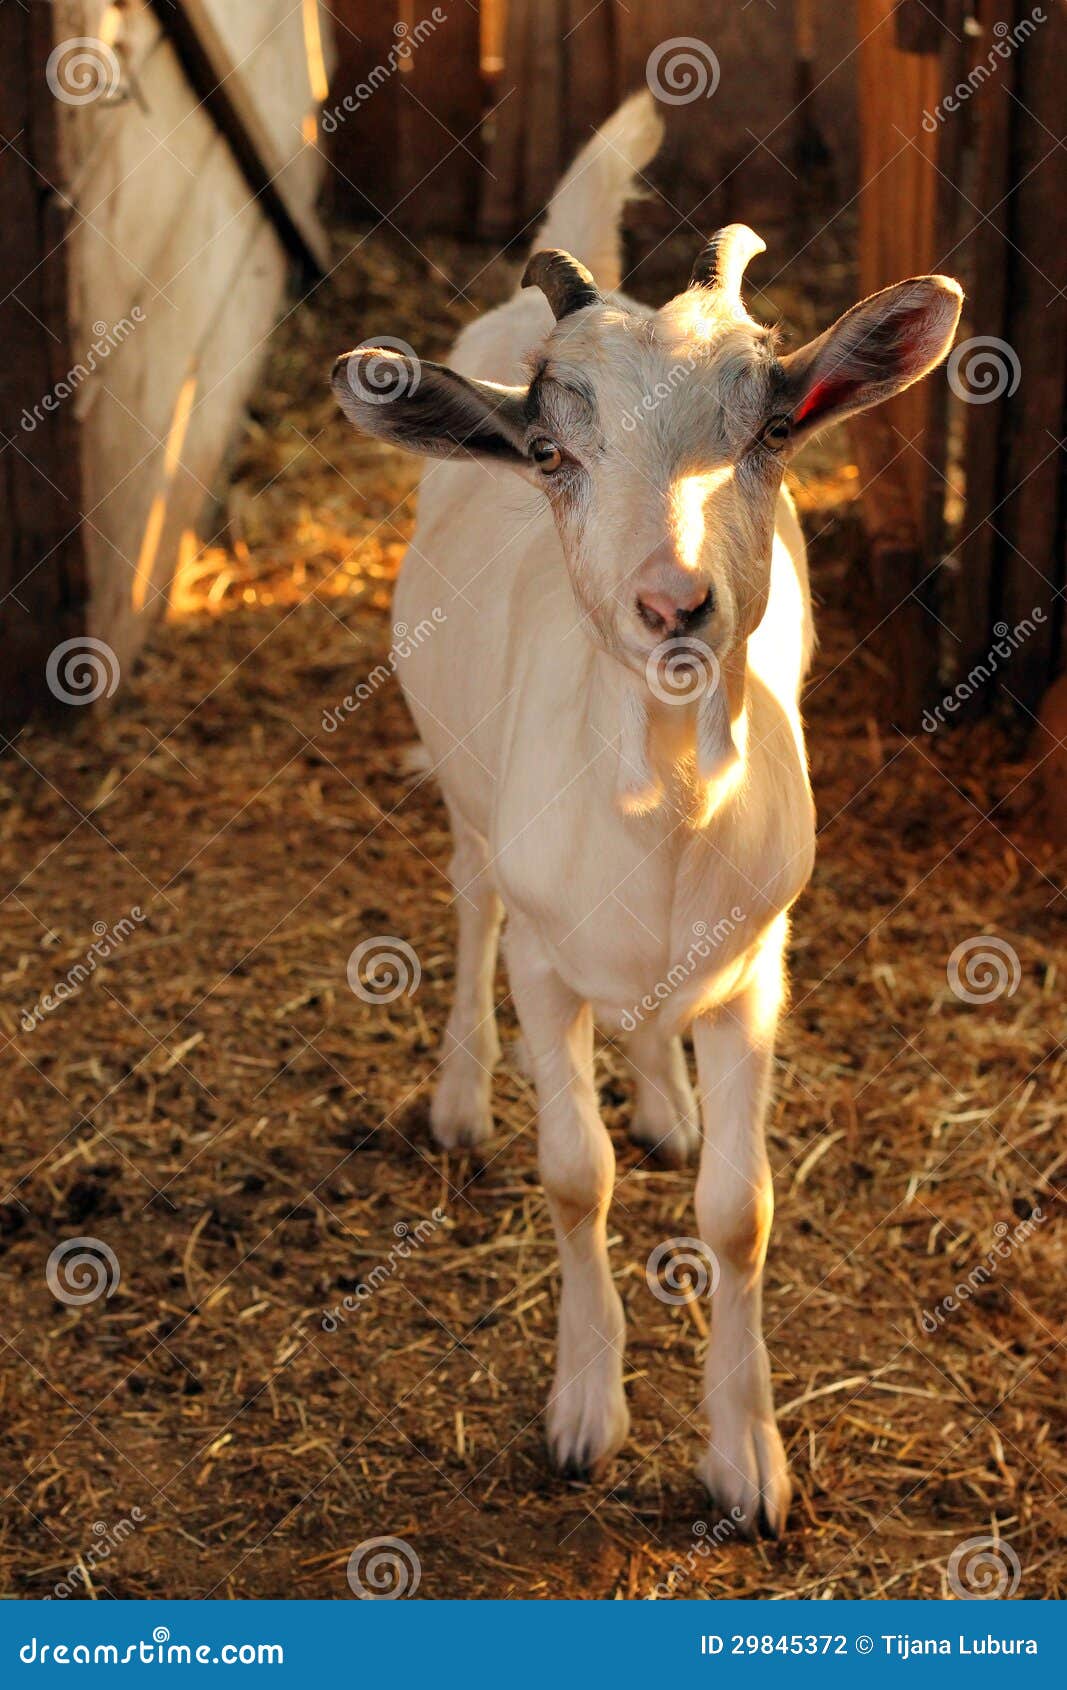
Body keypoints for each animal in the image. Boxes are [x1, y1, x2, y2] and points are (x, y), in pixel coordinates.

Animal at [332, 92, 962, 1537]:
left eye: (771, 431)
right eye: (549, 456)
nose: (672, 605)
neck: (661, 792)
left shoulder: (759, 967)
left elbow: (738, 1210)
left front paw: (746, 1462)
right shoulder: (545, 965)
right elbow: (576, 1176)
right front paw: (582, 1414)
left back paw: (663, 1098)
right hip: (464, 794)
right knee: (466, 899)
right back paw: (458, 1095)